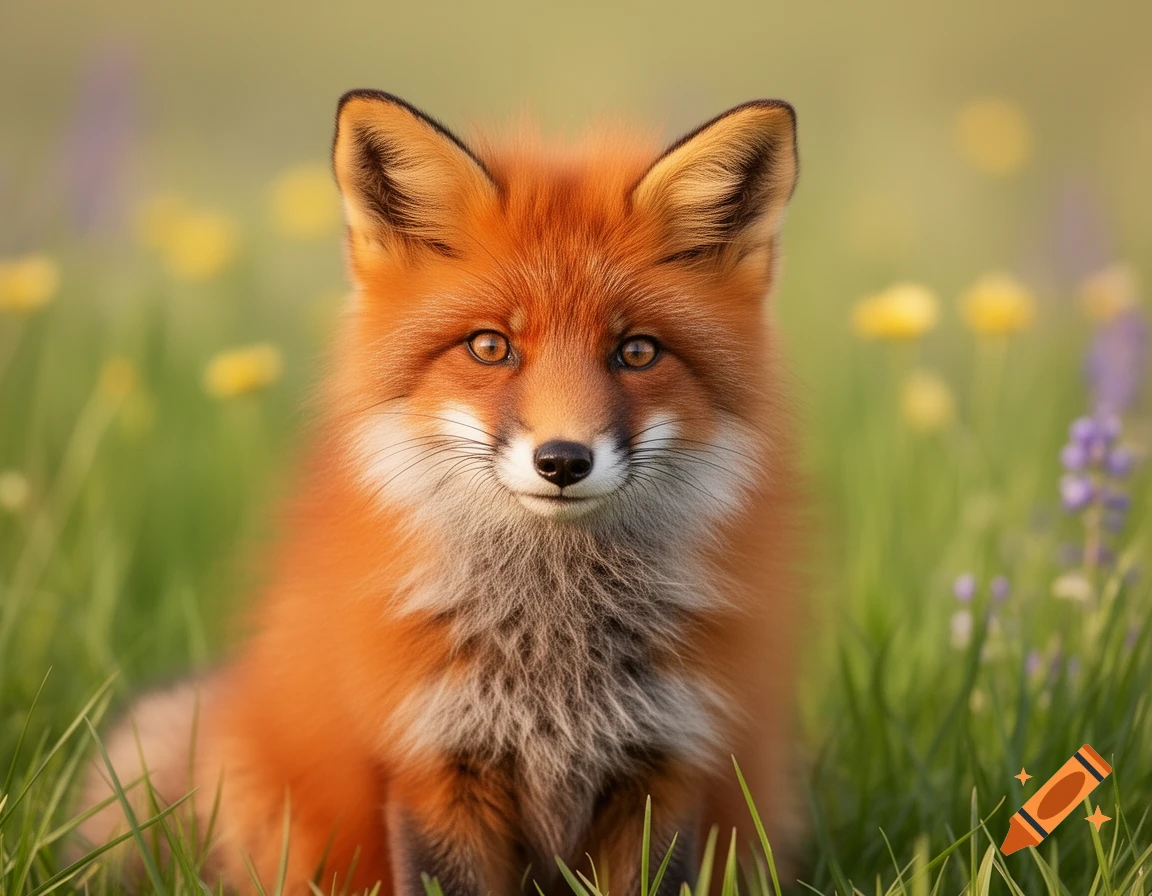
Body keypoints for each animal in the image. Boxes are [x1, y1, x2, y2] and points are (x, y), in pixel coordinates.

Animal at [75, 90, 805, 895]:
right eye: (490, 346)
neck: (556, 655)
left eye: (637, 351)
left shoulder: (667, 764)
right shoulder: (434, 763)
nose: (562, 461)